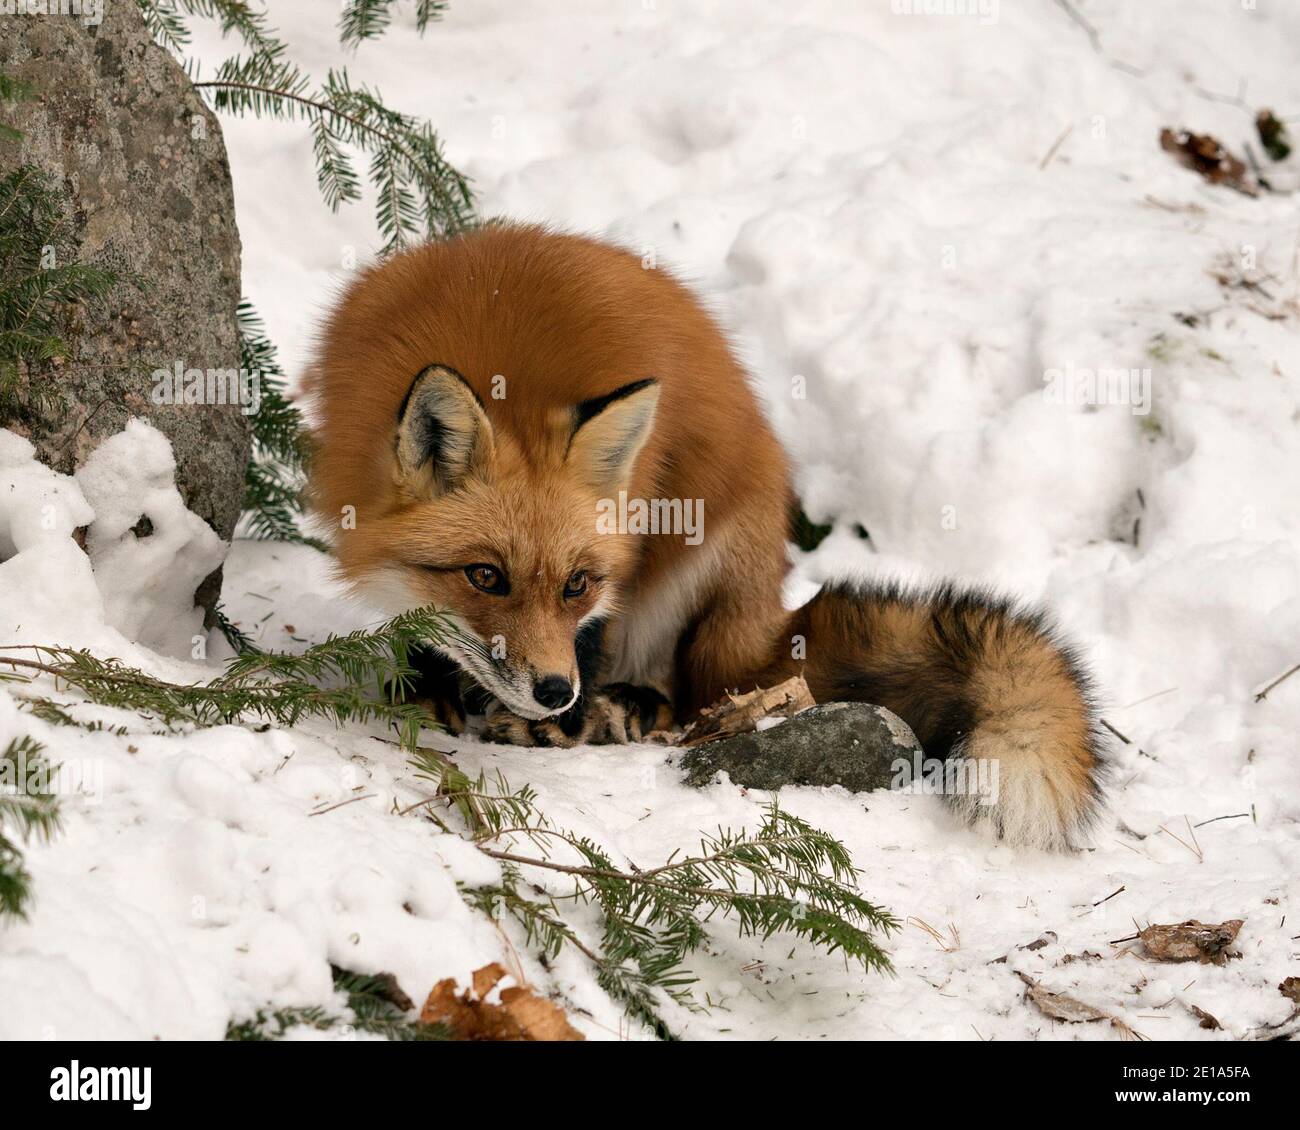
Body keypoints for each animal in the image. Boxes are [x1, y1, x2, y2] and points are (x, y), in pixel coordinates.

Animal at [307, 223, 1105, 851]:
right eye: (485, 577)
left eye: (577, 584)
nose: (555, 692)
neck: (498, 338)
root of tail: (768, 613)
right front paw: (427, 684)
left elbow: (593, 639)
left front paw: (559, 724)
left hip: (708, 565)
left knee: (691, 698)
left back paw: (621, 709)